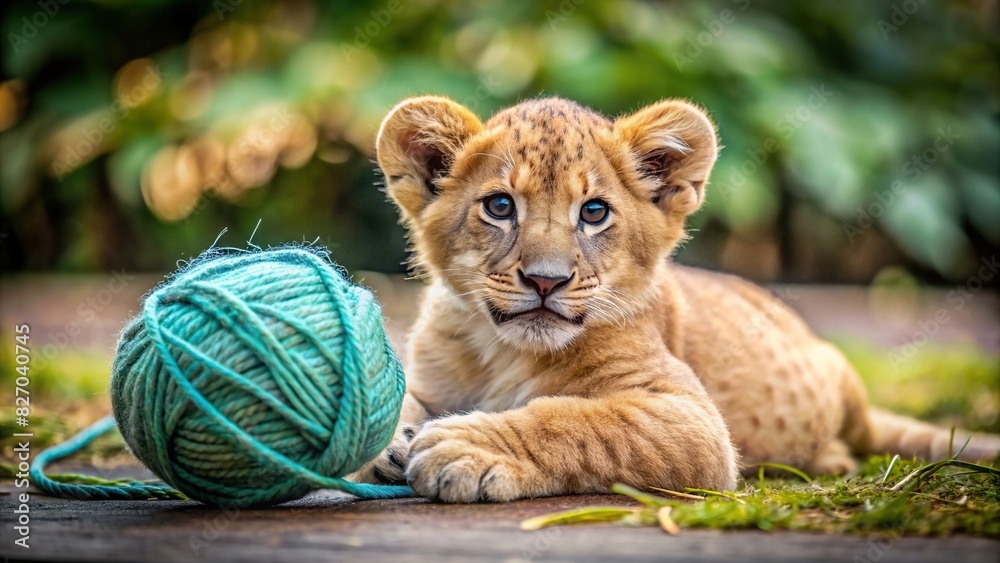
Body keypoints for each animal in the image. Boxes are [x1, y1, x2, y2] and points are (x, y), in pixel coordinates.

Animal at [350, 96, 1000, 502]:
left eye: (594, 212)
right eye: (500, 206)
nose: (546, 280)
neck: (501, 351)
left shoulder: (695, 421)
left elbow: (578, 420)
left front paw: (463, 446)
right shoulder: (431, 378)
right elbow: (400, 404)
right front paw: (390, 442)